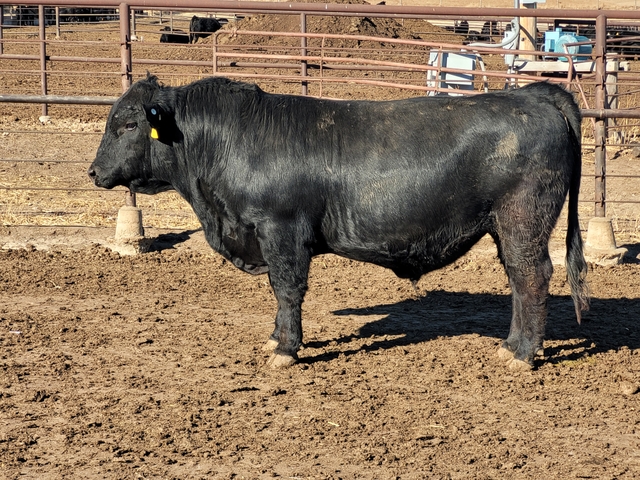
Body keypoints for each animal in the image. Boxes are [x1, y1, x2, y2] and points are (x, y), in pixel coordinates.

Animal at [88, 75, 589, 370]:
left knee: (532, 277)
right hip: (505, 229)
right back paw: (511, 345)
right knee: (520, 281)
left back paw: (522, 355)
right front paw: (275, 339)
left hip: (523, 221)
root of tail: (532, 93)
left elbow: (287, 289)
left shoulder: (281, 231)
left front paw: (286, 350)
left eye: (128, 125)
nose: (93, 172)